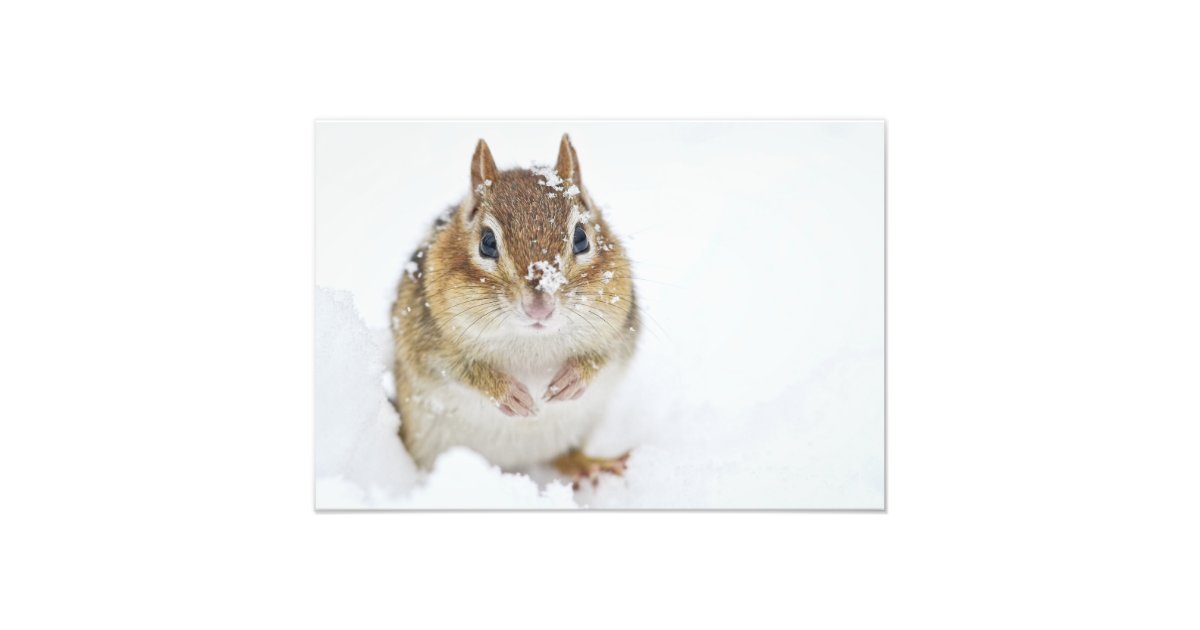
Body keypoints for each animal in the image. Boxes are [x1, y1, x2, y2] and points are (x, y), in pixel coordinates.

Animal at [391, 134, 640, 485]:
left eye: (581, 238)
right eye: (487, 242)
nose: (539, 307)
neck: (531, 343)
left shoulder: (620, 329)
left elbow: (604, 356)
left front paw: (572, 379)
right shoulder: (427, 344)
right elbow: (457, 368)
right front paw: (509, 393)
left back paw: (589, 464)